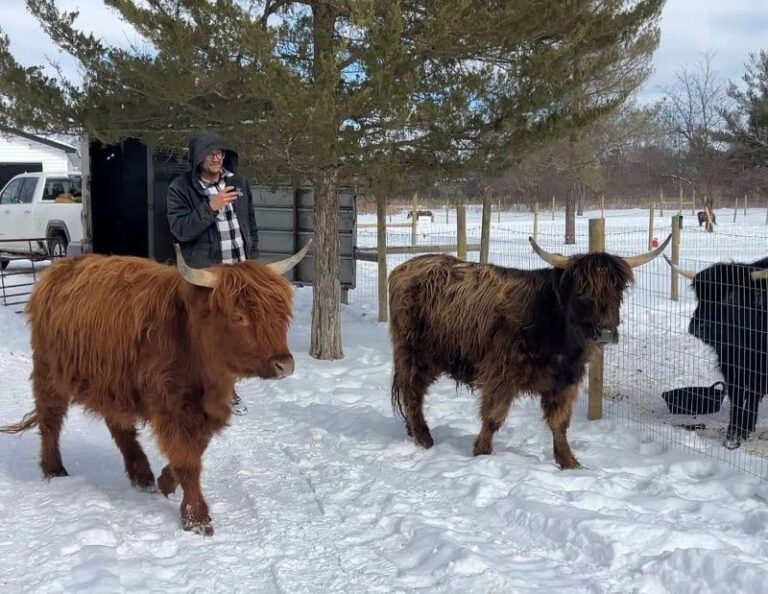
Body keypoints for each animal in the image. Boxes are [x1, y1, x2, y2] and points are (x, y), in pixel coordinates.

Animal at [0, 241, 311, 535]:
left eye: (281, 313)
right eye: (239, 317)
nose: (284, 364)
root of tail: (57, 270)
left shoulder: (205, 407)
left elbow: (196, 448)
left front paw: (165, 482)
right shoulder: (171, 404)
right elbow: (187, 459)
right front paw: (196, 518)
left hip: (114, 381)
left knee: (119, 426)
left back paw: (142, 475)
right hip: (50, 371)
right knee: (50, 419)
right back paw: (54, 469)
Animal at [388, 235, 671, 468]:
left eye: (618, 290)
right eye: (582, 290)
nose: (604, 332)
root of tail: (404, 268)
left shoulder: (565, 382)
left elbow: (560, 423)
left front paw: (569, 462)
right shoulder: (500, 376)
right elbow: (493, 417)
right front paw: (482, 452)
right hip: (415, 353)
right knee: (412, 391)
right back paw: (424, 437)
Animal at [665, 255, 768, 449]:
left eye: (731, 296)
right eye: (700, 296)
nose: (696, 327)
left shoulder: (759, 367)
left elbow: (752, 394)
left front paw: (742, 431)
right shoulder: (729, 363)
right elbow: (737, 396)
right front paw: (734, 434)